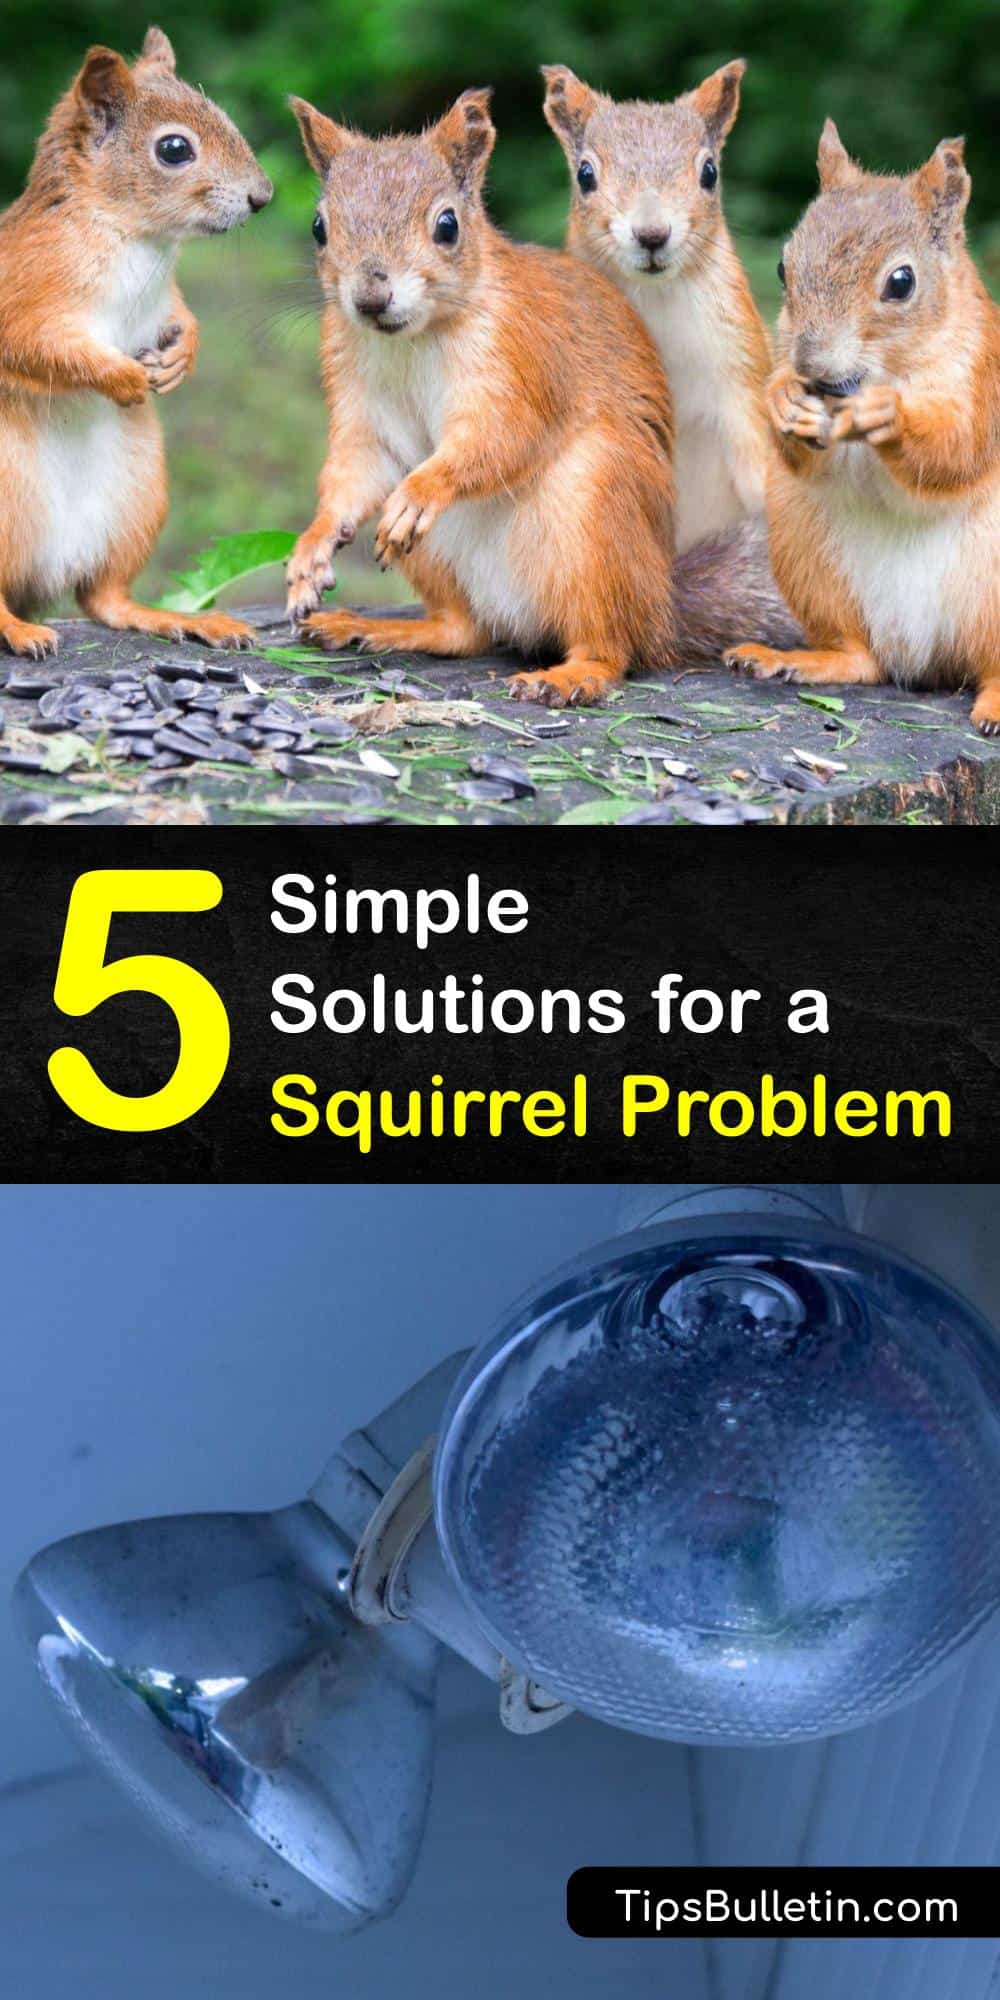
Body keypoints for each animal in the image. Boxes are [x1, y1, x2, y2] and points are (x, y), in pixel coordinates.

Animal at [0, 27, 272, 660]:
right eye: (173, 149)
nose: (263, 196)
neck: (134, 238)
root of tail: (48, 570)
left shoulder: (163, 297)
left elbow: (184, 319)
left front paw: (179, 360)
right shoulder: (20, 294)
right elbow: (35, 347)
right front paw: (122, 377)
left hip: (139, 498)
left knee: (104, 598)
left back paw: (177, 619)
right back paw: (19, 629)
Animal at [724, 124, 1000, 737]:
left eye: (902, 282)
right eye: (783, 268)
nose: (810, 367)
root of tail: (920, 656)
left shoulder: (985, 382)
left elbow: (960, 448)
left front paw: (890, 416)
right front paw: (783, 399)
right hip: (807, 554)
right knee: (863, 658)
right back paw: (795, 659)